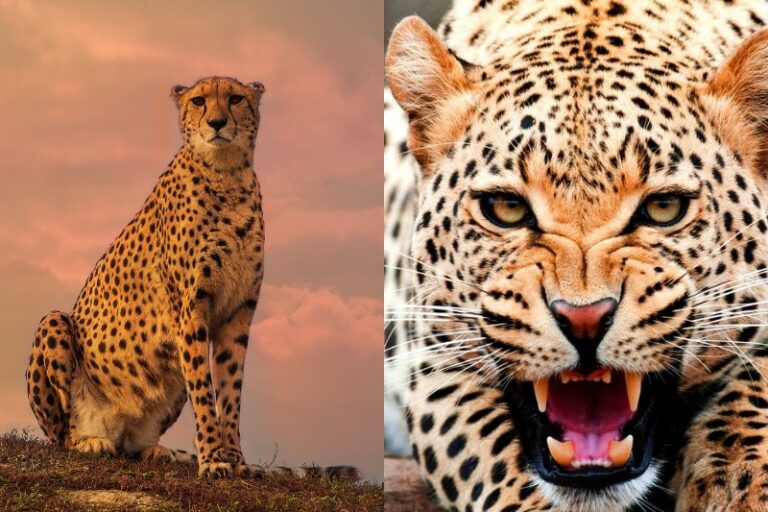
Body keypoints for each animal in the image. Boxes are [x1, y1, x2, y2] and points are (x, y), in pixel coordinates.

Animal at [26, 76, 357, 481]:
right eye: (199, 100)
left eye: (236, 99)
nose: (216, 123)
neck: (227, 174)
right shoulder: (191, 311)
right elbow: (204, 389)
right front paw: (214, 458)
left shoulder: (238, 313)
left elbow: (229, 391)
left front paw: (236, 460)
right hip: (54, 323)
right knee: (61, 433)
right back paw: (88, 441)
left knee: (133, 444)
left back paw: (157, 450)